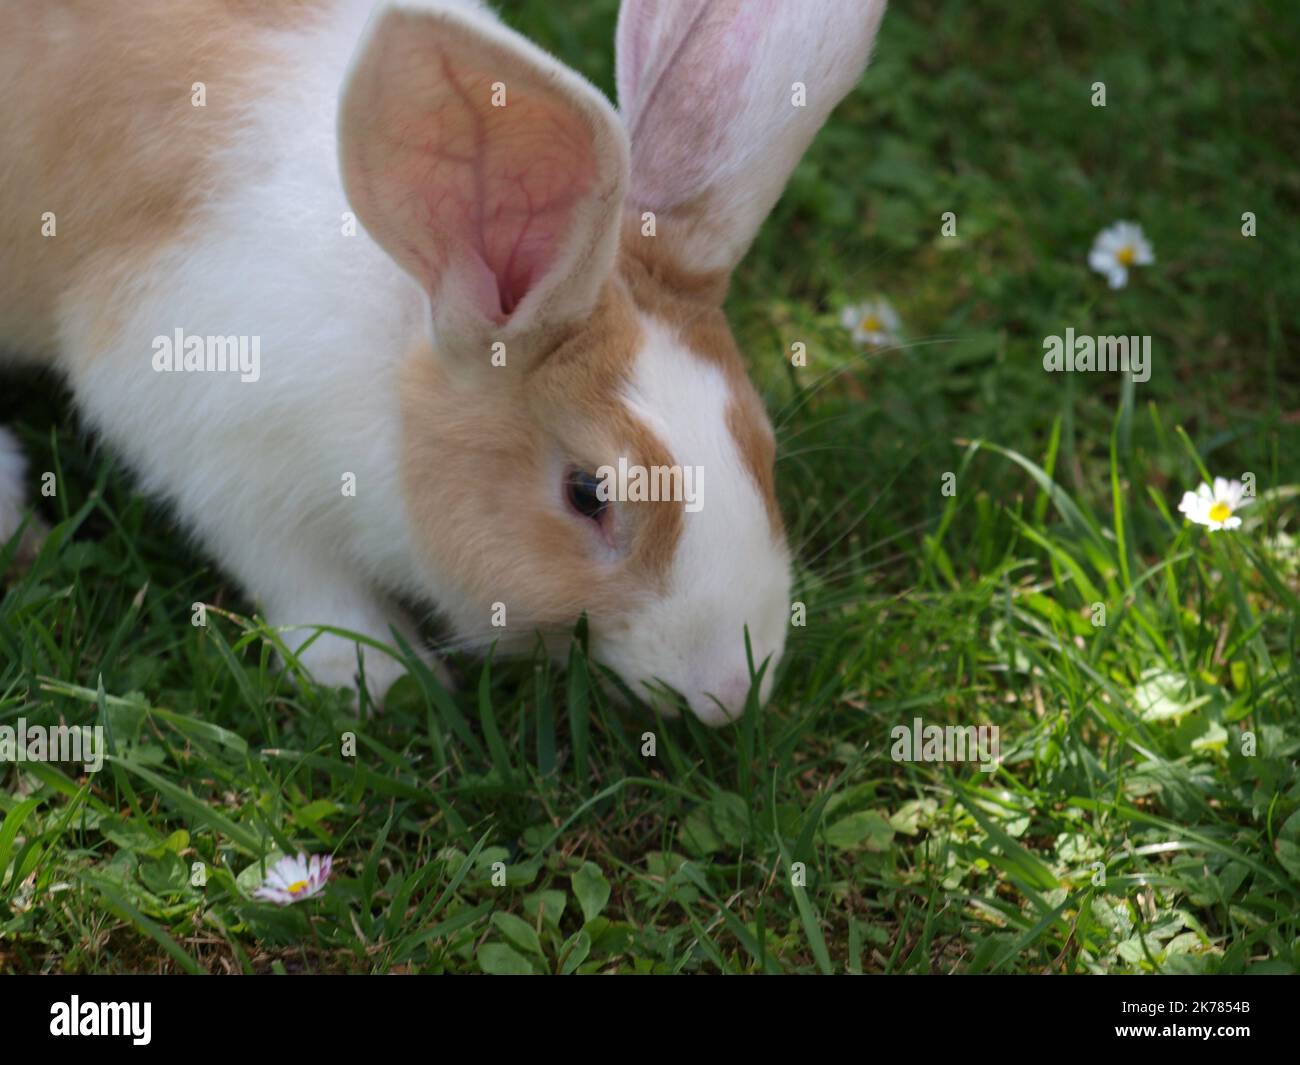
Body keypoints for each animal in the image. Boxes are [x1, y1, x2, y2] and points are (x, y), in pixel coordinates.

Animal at [0, 0, 886, 726]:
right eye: (588, 493)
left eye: (763, 443)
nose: (729, 694)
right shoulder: (217, 459)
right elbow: (303, 578)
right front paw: (379, 674)